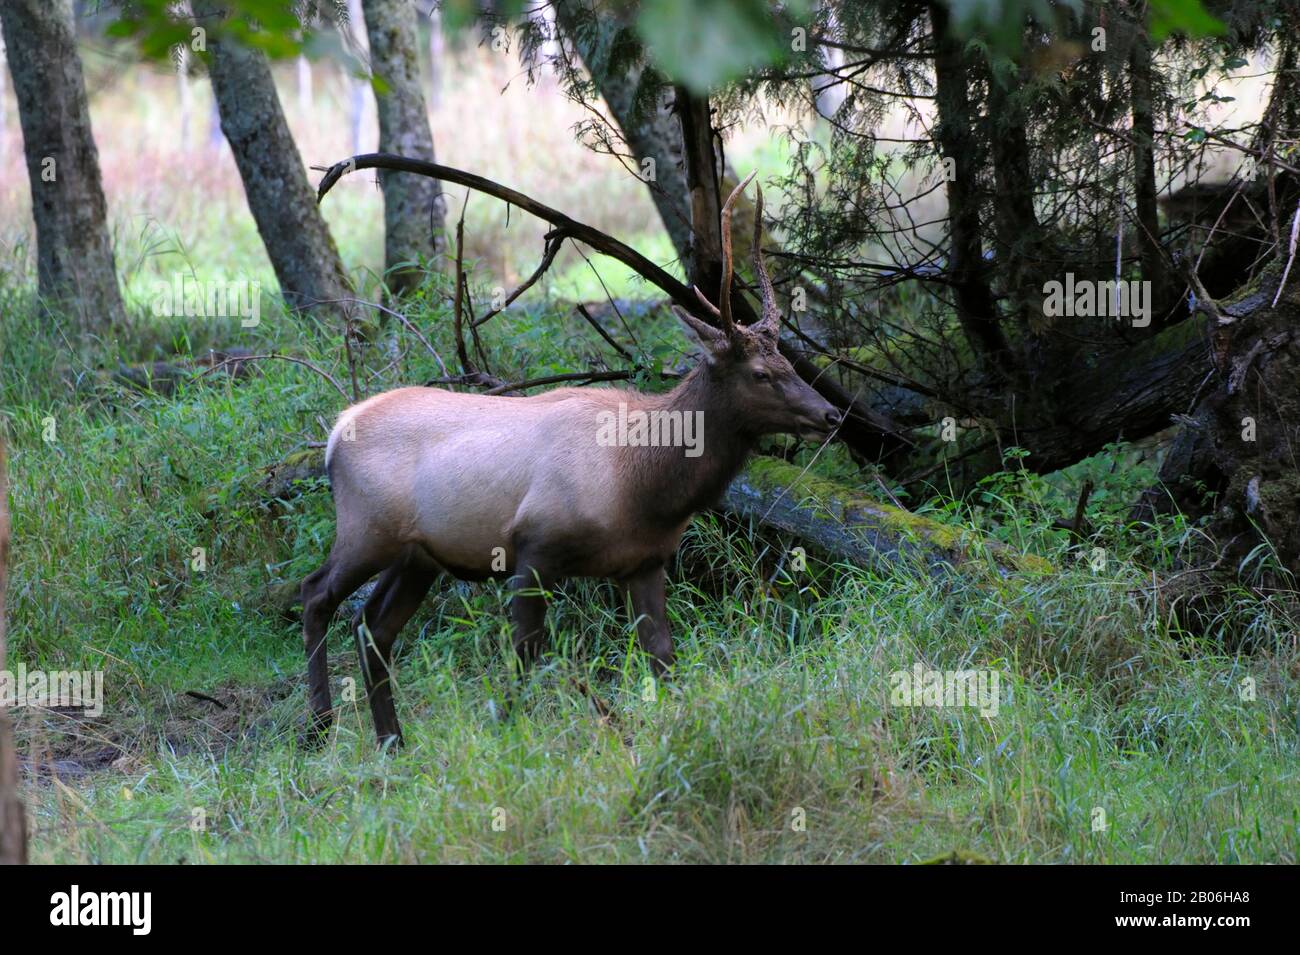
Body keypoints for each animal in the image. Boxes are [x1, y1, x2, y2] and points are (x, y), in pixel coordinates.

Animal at [300, 173, 843, 747]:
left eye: (790, 363)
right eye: (760, 373)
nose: (831, 414)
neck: (643, 486)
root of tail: (335, 433)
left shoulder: (644, 561)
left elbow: (663, 656)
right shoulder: (533, 545)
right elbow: (523, 655)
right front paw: (511, 735)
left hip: (418, 554)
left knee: (371, 625)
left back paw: (392, 742)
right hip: (367, 527)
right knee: (316, 595)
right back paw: (319, 726)